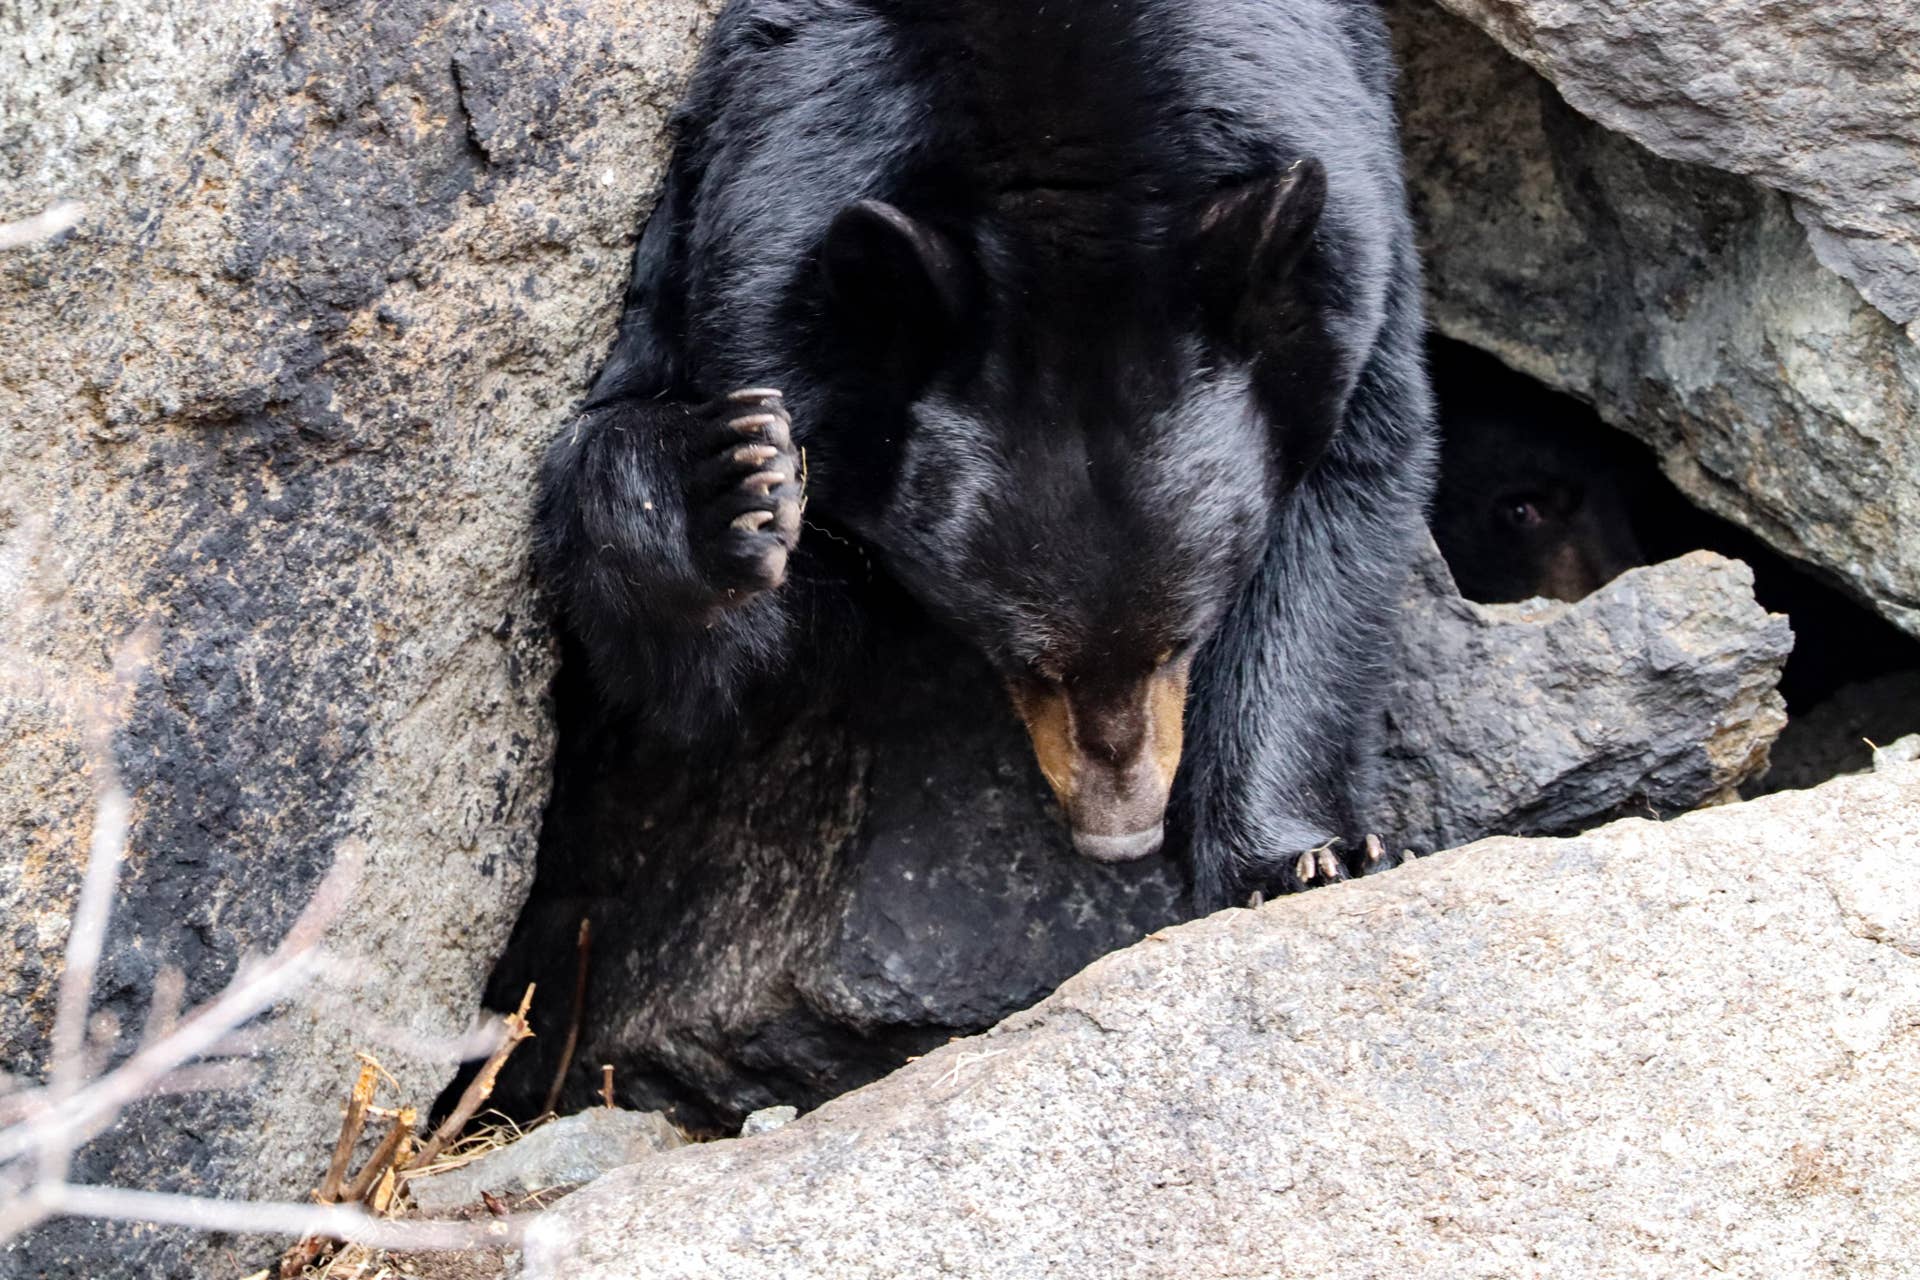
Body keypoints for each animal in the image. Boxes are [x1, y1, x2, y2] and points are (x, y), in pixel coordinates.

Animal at [536, 0, 1436, 908]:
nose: (1122, 837)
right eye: (1023, 658)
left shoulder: (1347, 247)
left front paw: (1296, 859)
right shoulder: (739, 226)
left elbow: (1341, 503)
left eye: (1181, 641)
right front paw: (722, 491)